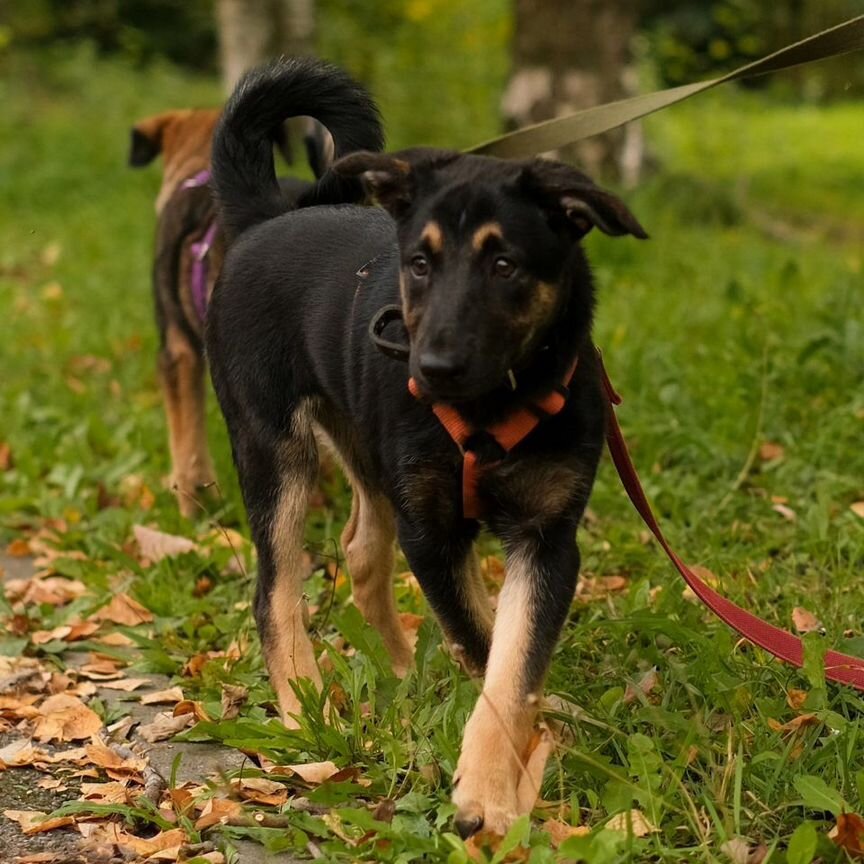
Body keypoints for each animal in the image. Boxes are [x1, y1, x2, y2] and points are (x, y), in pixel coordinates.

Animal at [206, 59, 644, 836]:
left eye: (504, 265)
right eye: (418, 264)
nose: (431, 368)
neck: (492, 406)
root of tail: (263, 217)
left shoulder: (546, 536)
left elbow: (511, 652)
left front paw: (504, 764)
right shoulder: (432, 530)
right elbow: (482, 640)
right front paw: (496, 785)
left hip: (365, 446)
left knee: (359, 549)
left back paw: (404, 672)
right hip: (274, 447)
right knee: (274, 589)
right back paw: (302, 712)